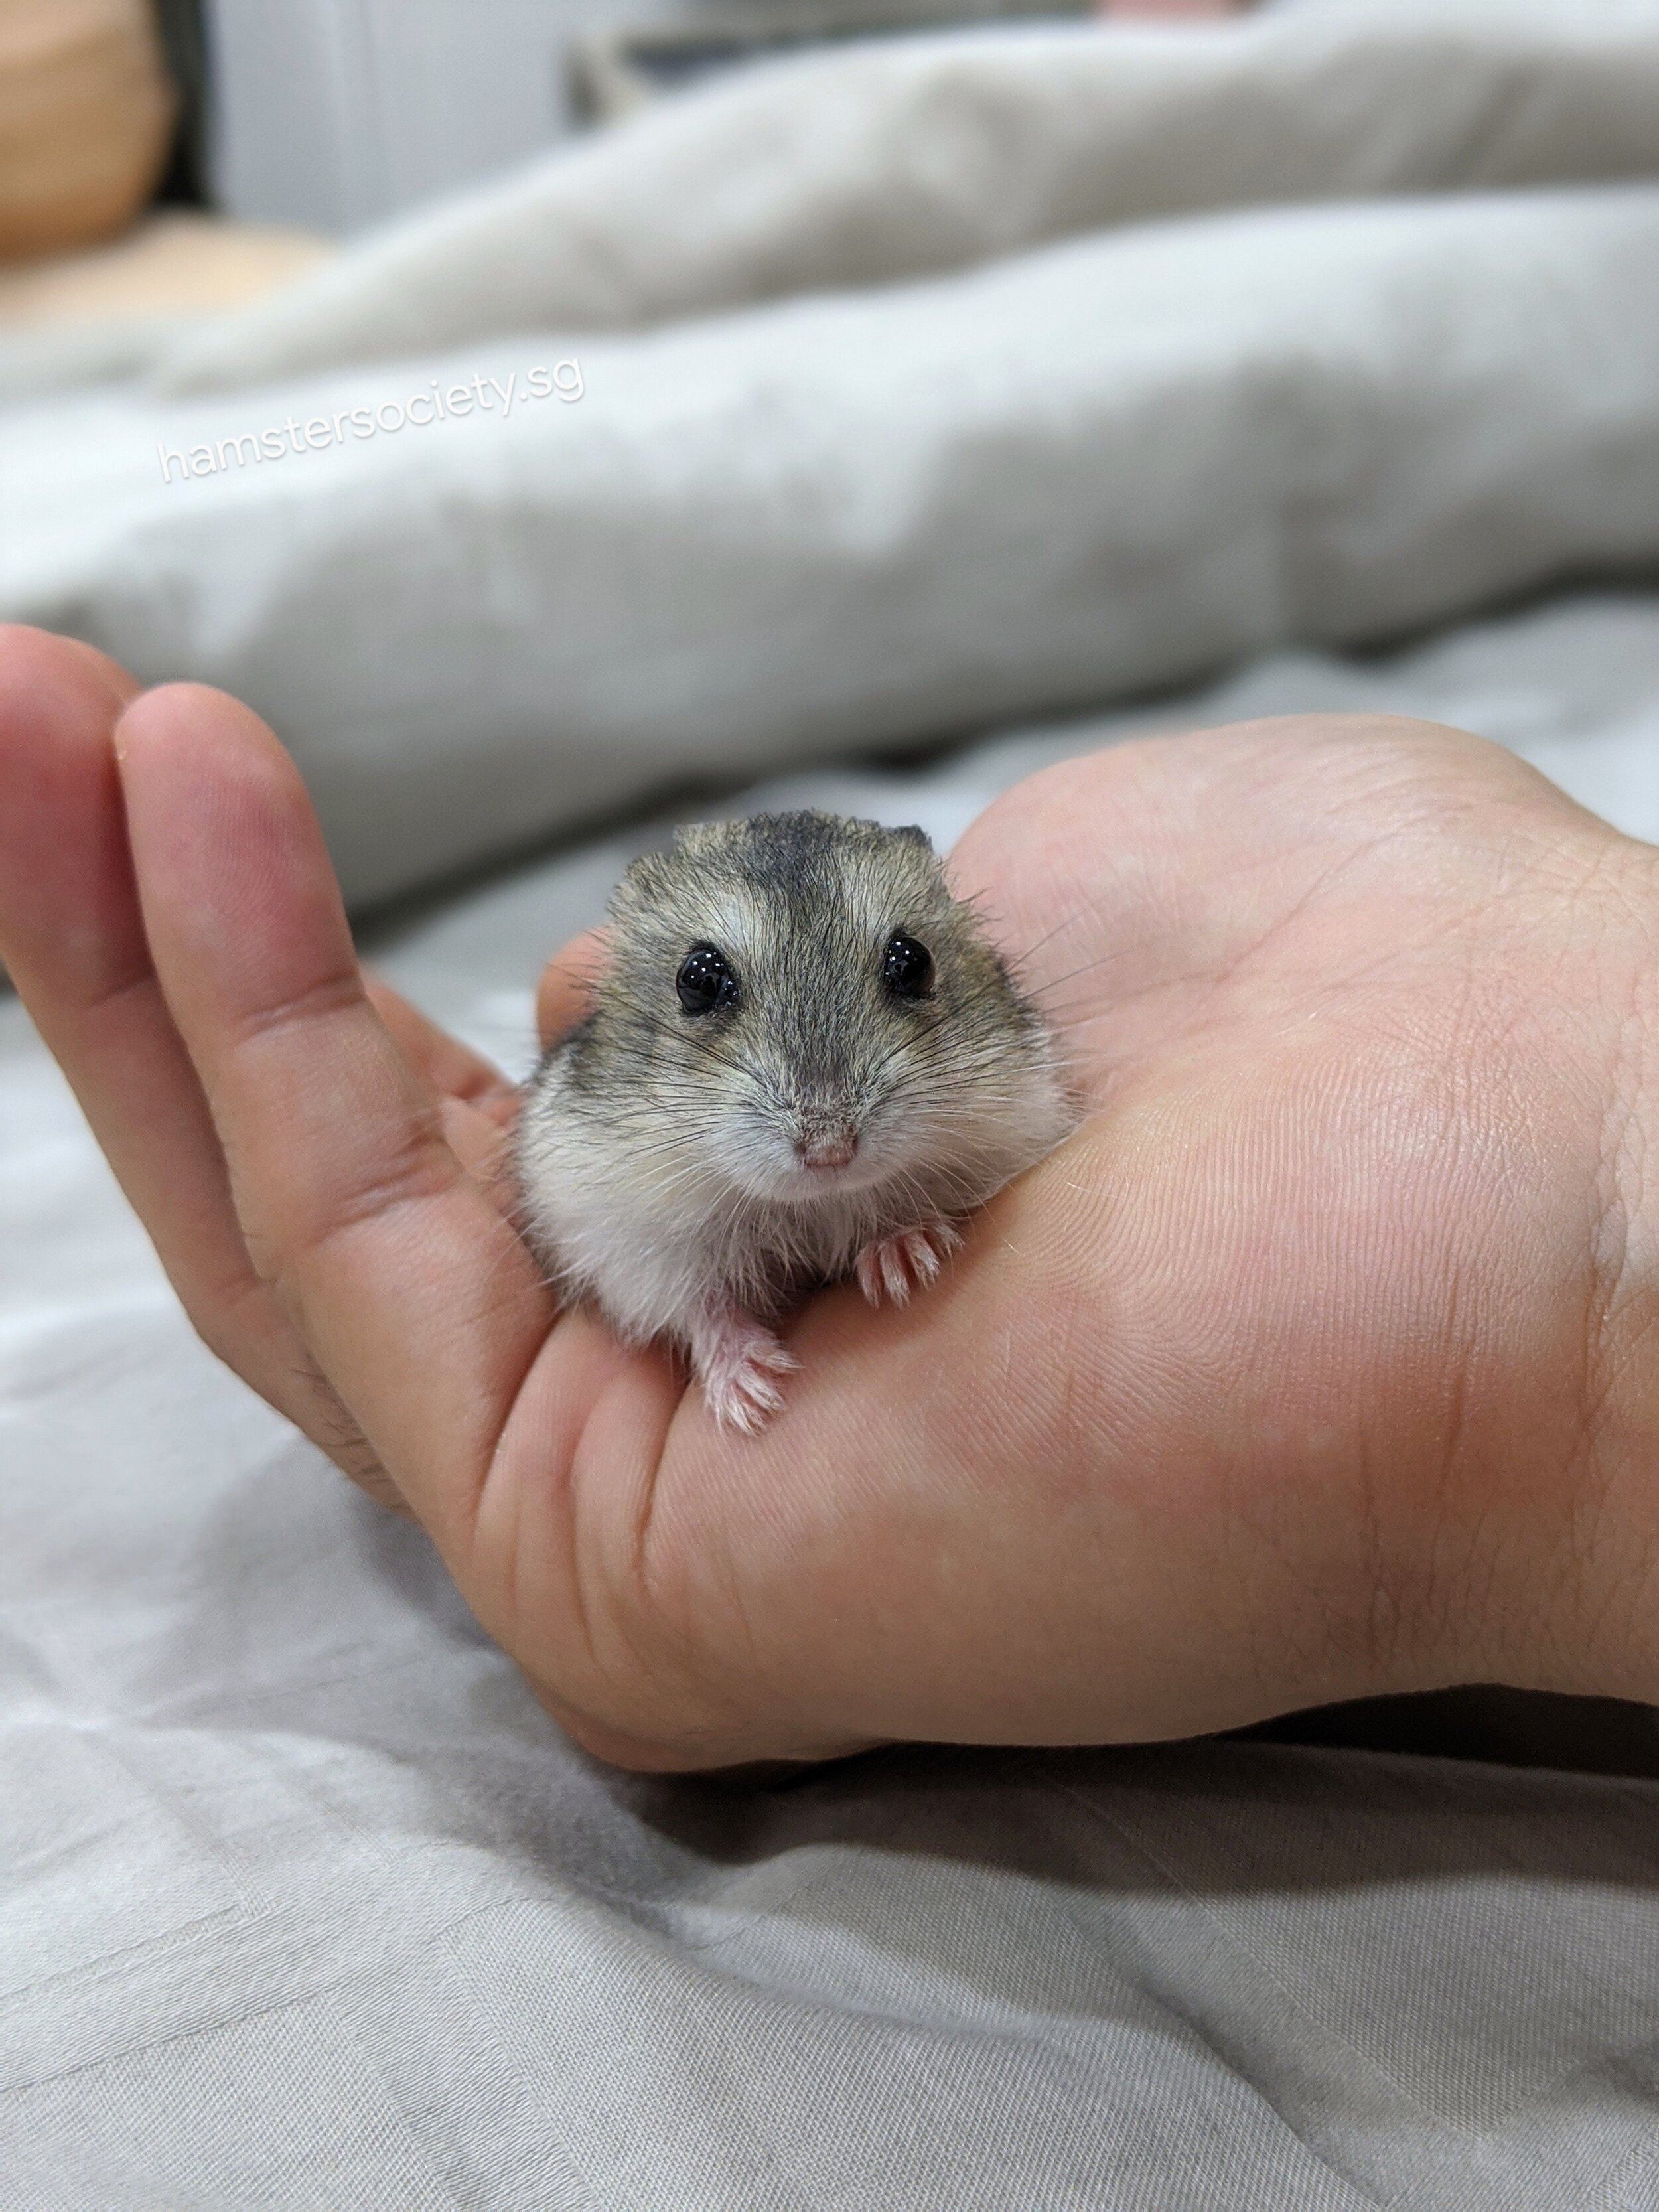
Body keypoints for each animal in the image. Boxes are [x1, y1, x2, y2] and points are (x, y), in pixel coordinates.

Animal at [514, 810, 1075, 1433]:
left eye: (913, 962)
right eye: (698, 979)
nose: (830, 1149)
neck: (817, 1204)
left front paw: (905, 1261)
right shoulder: (627, 1239)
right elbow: (699, 1307)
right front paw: (754, 1395)